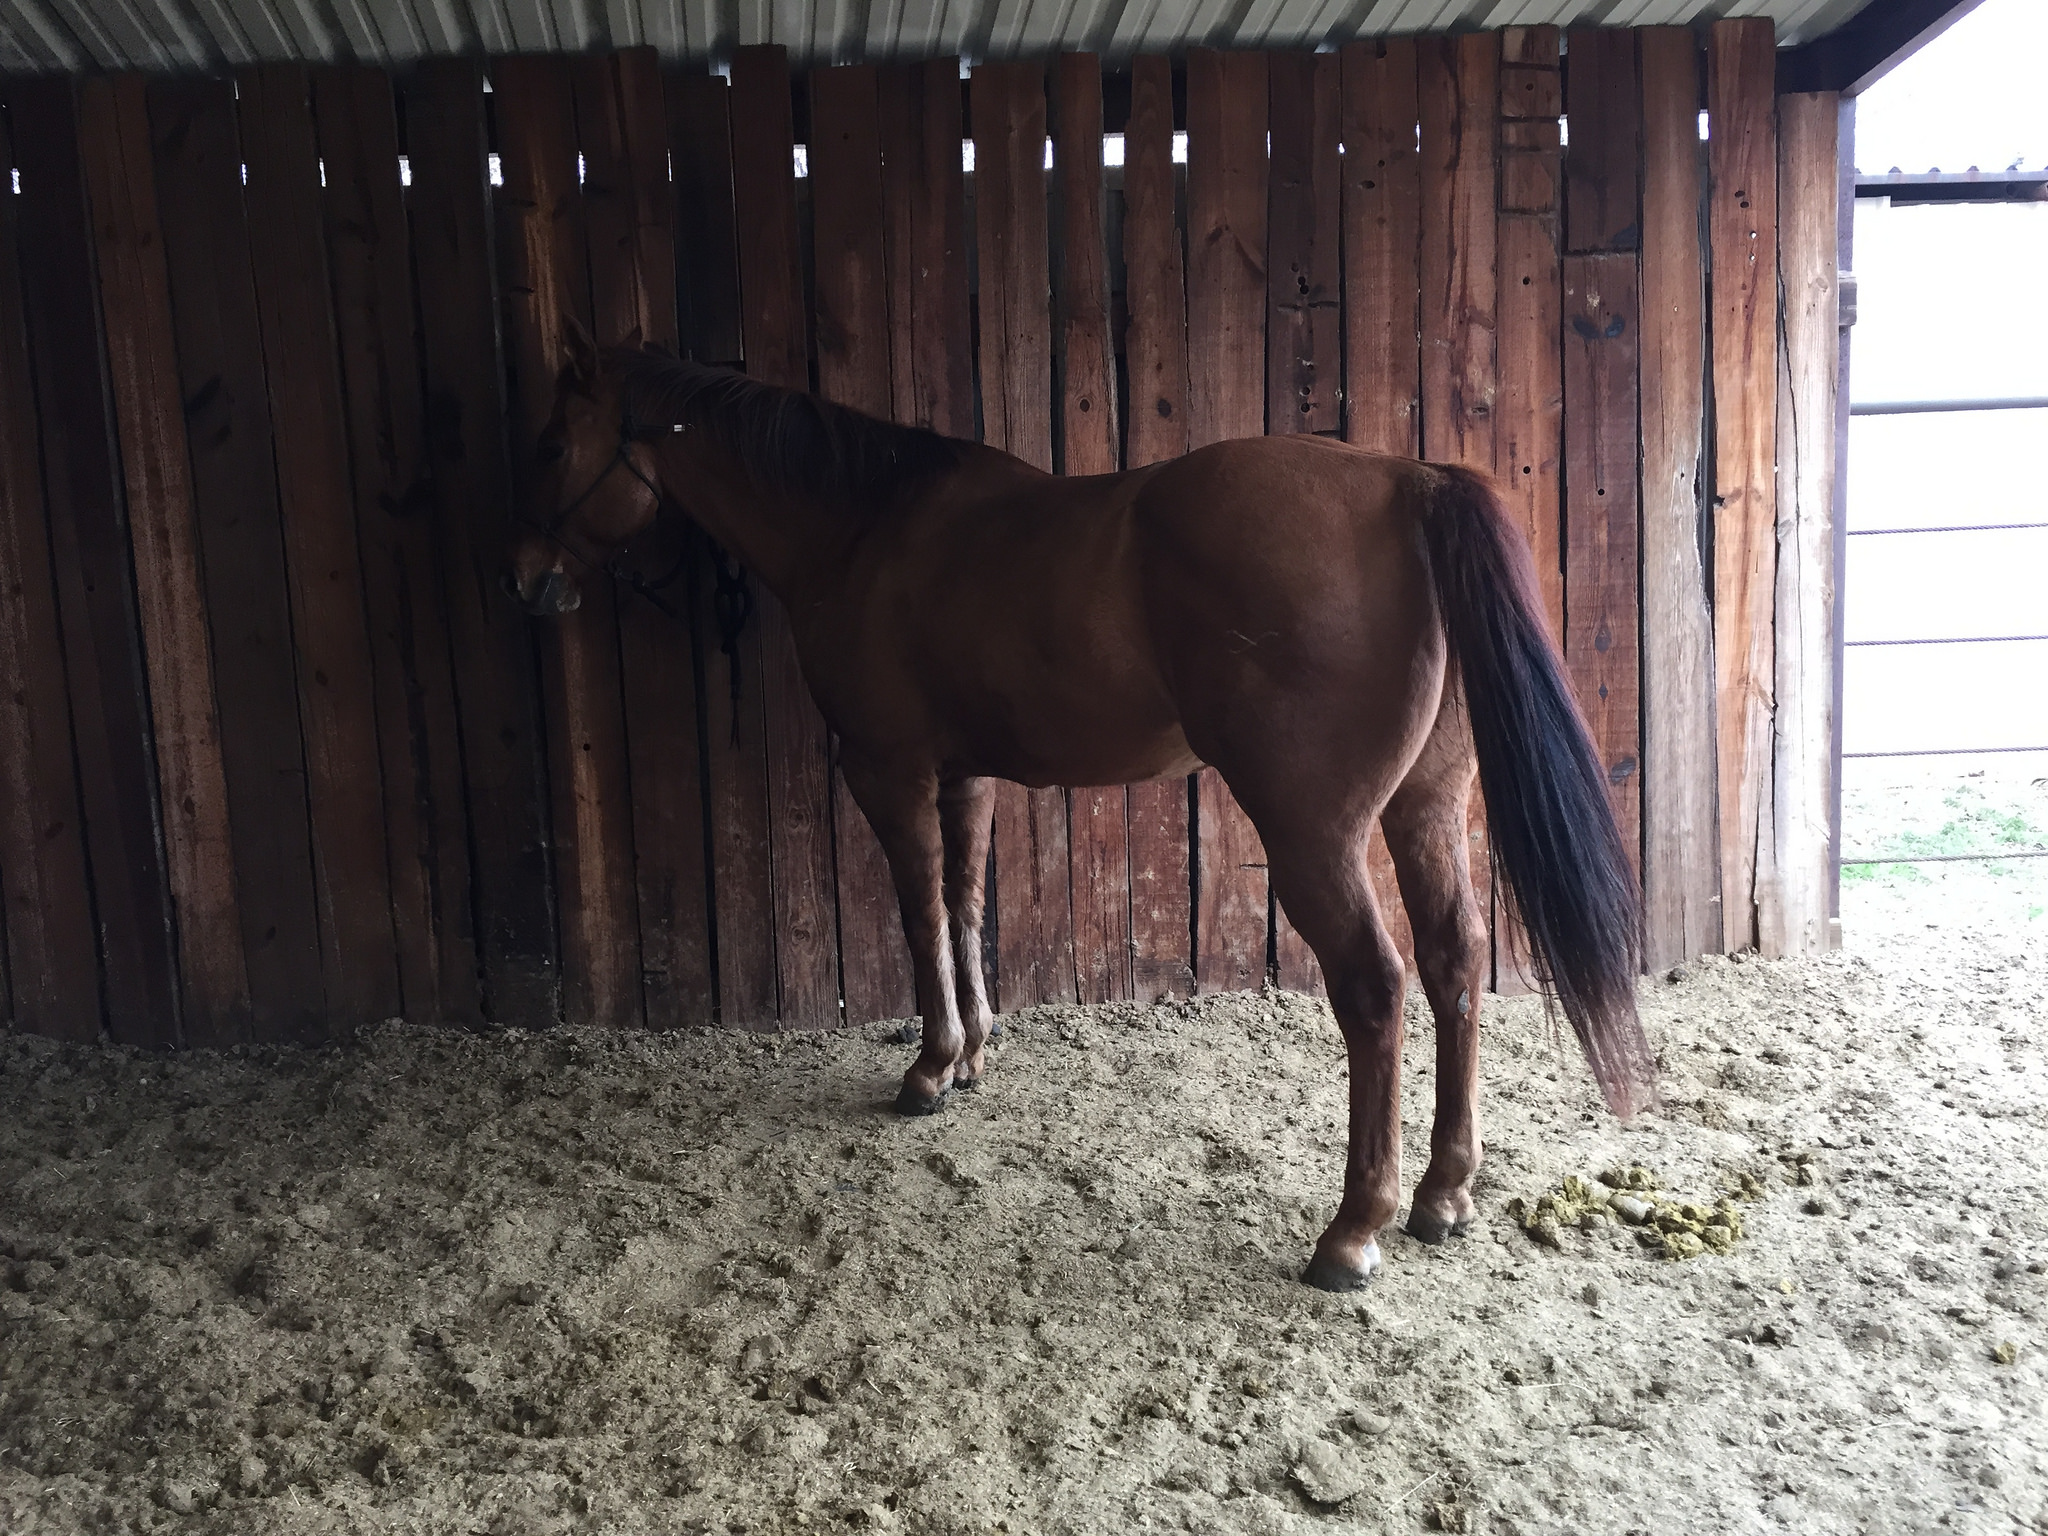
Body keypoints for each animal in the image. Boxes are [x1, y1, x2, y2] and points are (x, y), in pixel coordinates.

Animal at [507, 326, 1655, 1291]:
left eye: (554, 442)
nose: (525, 579)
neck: (866, 526)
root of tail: (1406, 482)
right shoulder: (962, 776)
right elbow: (965, 903)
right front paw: (971, 1052)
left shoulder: (885, 770)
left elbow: (919, 914)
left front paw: (928, 1068)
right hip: (1425, 806)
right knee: (1456, 959)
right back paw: (1441, 1193)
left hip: (1313, 833)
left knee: (1376, 988)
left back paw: (1351, 1230)